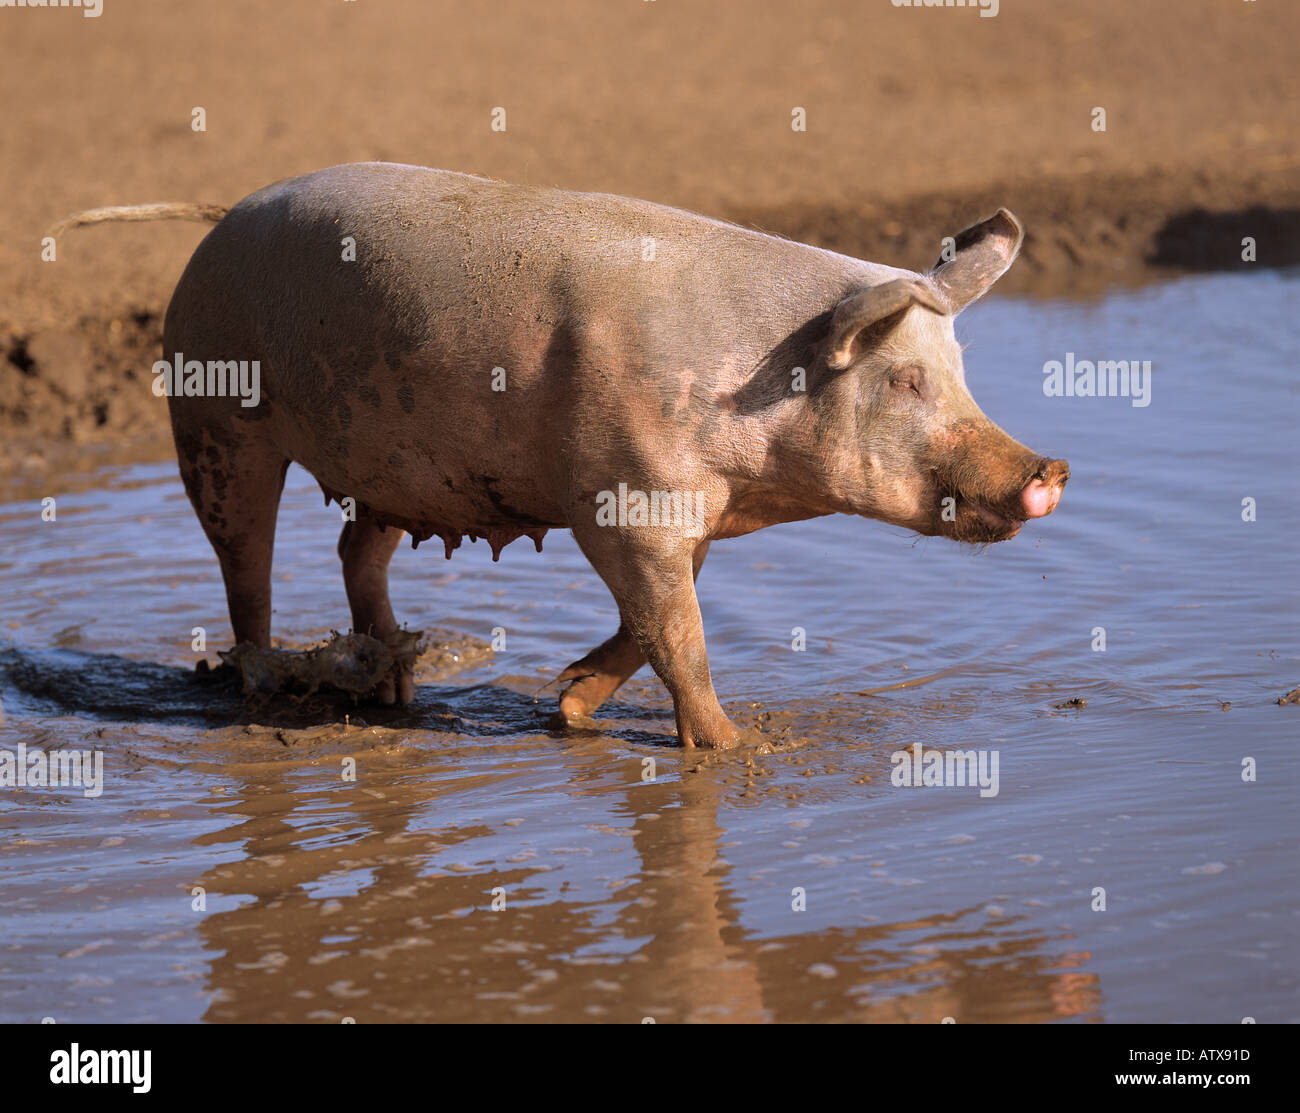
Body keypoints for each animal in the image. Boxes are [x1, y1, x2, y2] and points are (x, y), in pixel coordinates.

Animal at [54, 162, 1068, 748]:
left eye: (960, 369)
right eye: (906, 382)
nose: (1049, 471)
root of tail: (221, 216)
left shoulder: (688, 507)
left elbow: (654, 617)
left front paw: (572, 704)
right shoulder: (625, 496)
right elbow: (678, 634)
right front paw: (736, 748)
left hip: (384, 469)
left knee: (352, 549)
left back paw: (398, 684)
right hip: (214, 417)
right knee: (245, 565)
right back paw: (267, 689)